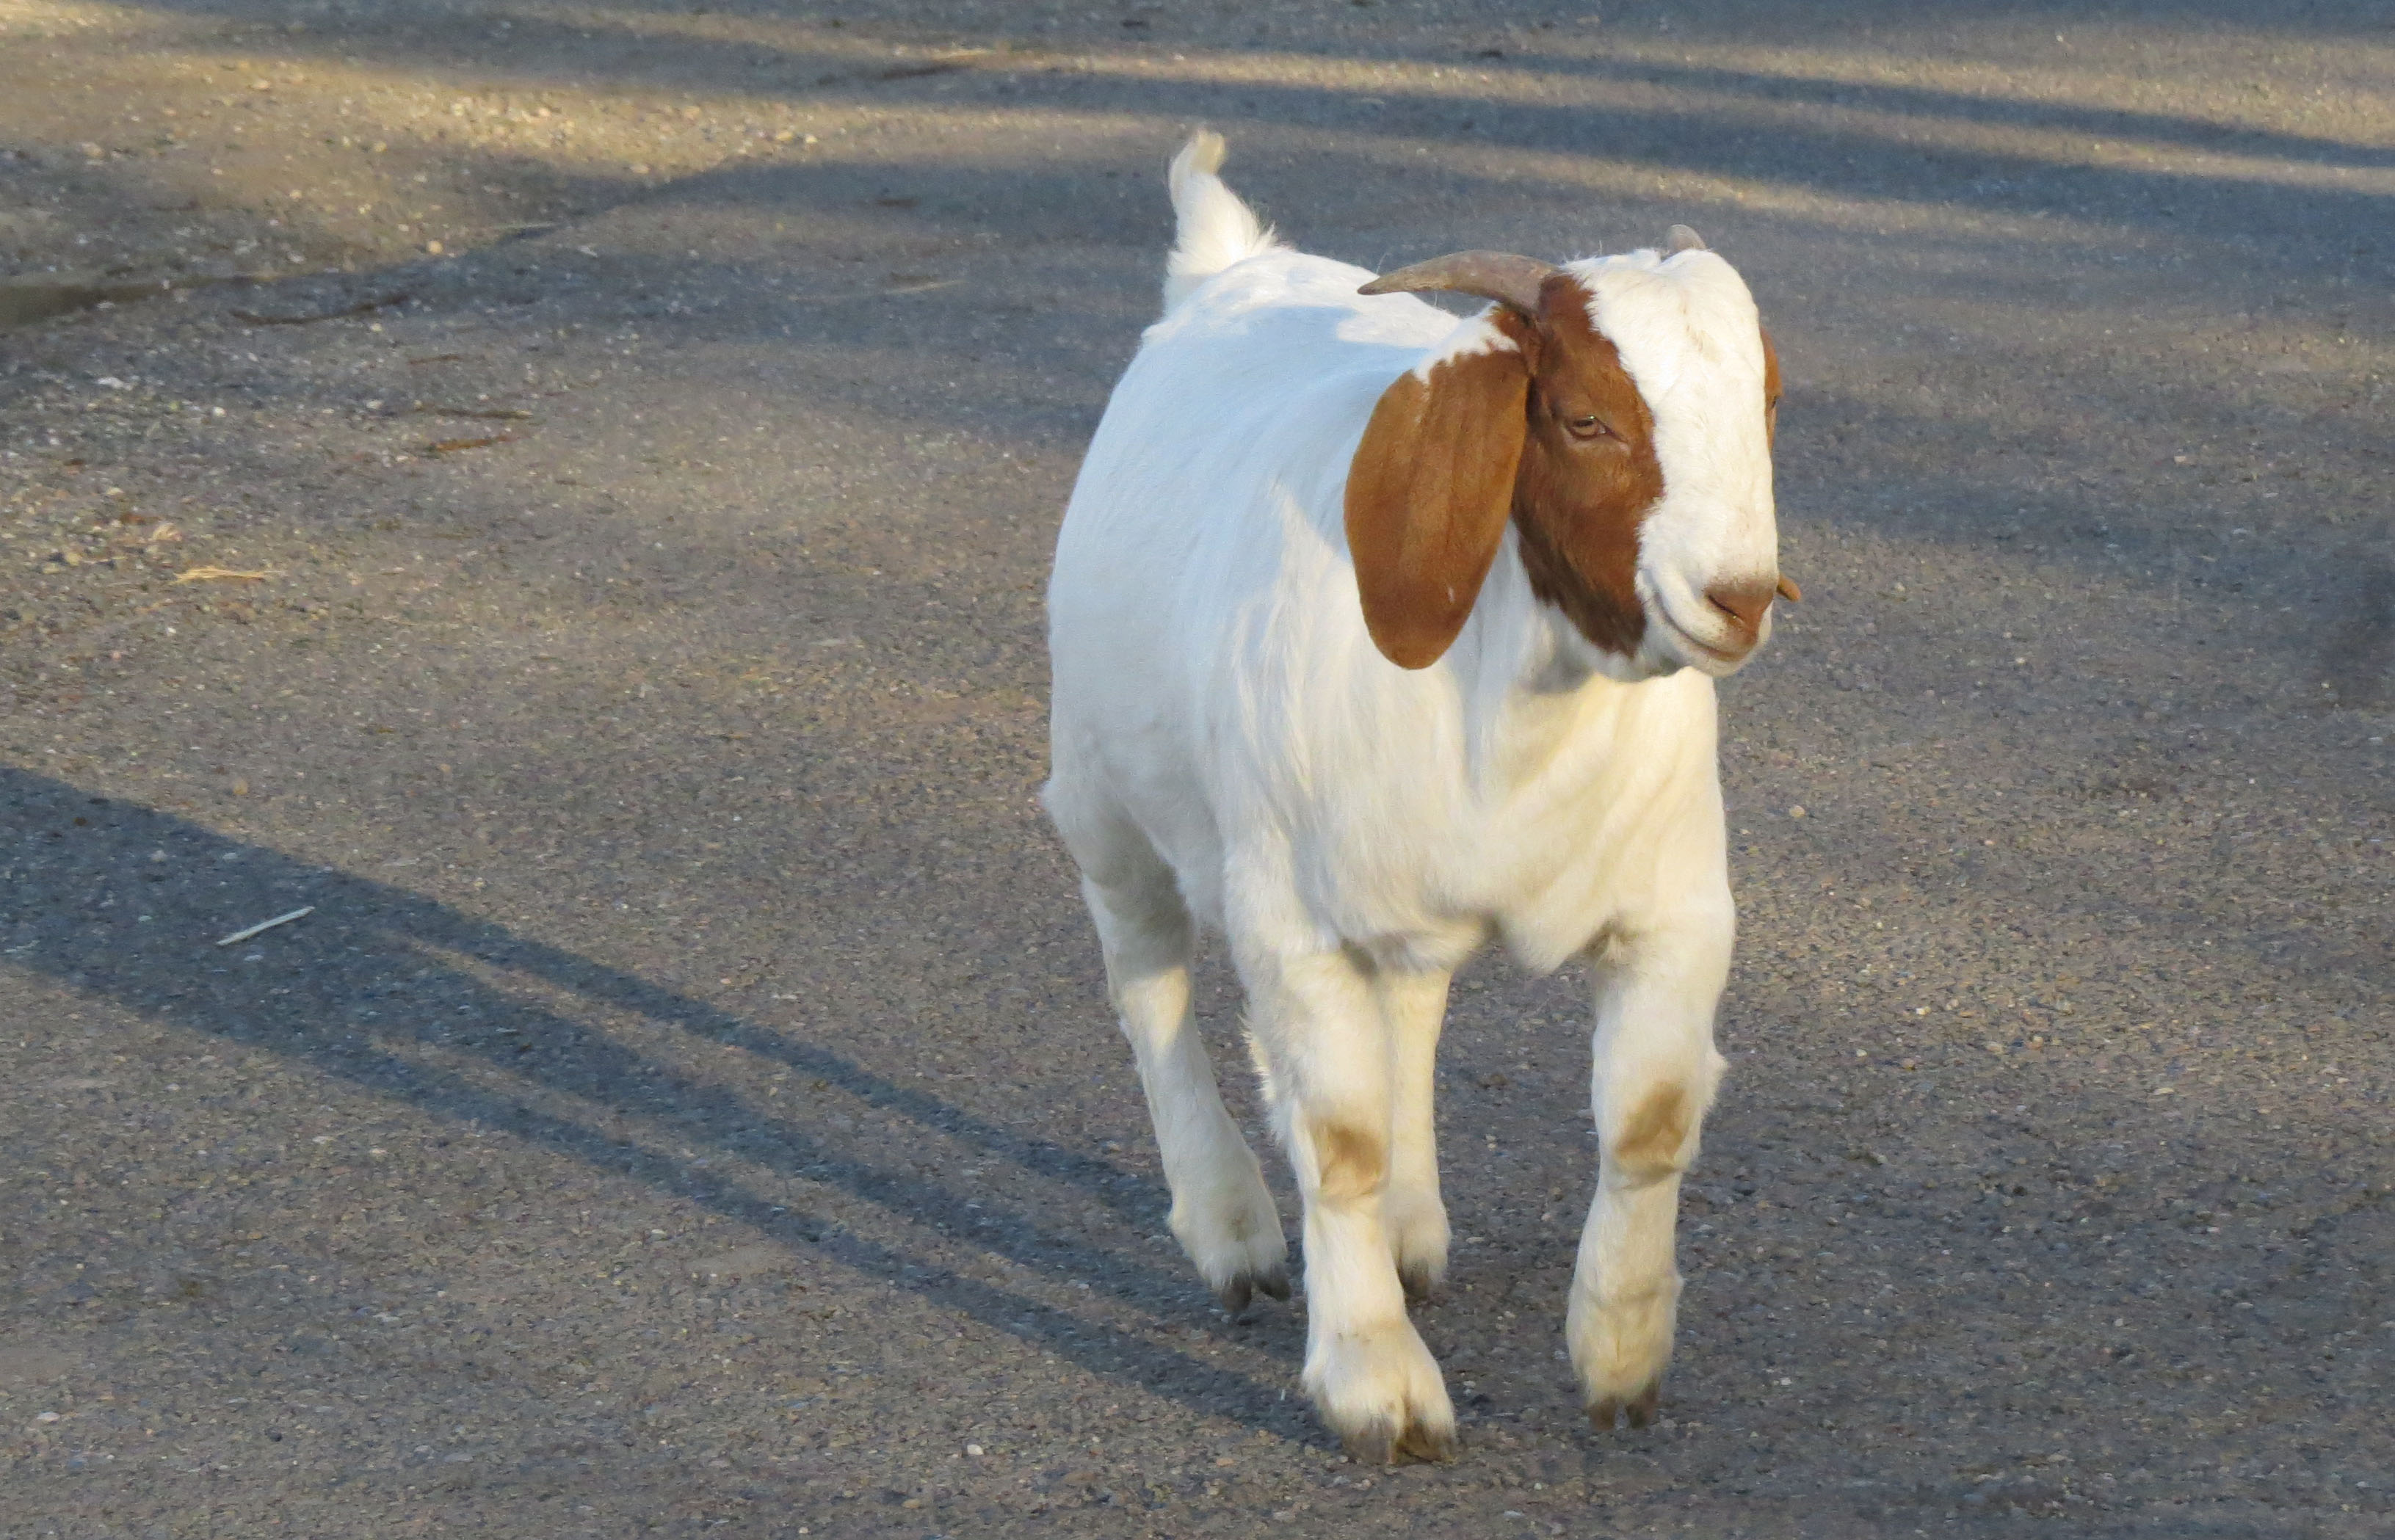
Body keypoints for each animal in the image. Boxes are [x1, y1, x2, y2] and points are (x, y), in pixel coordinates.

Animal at [1043, 131, 1787, 1462]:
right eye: (1585, 417)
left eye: (1763, 404)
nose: (1738, 596)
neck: (1521, 706)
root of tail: (1223, 261)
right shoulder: (1290, 921)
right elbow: (1334, 1140)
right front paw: (1374, 1385)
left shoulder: (1675, 907)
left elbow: (1646, 1117)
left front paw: (1619, 1349)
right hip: (1104, 798)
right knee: (1149, 986)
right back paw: (1229, 1225)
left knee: (1411, 1004)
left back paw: (1405, 1223)